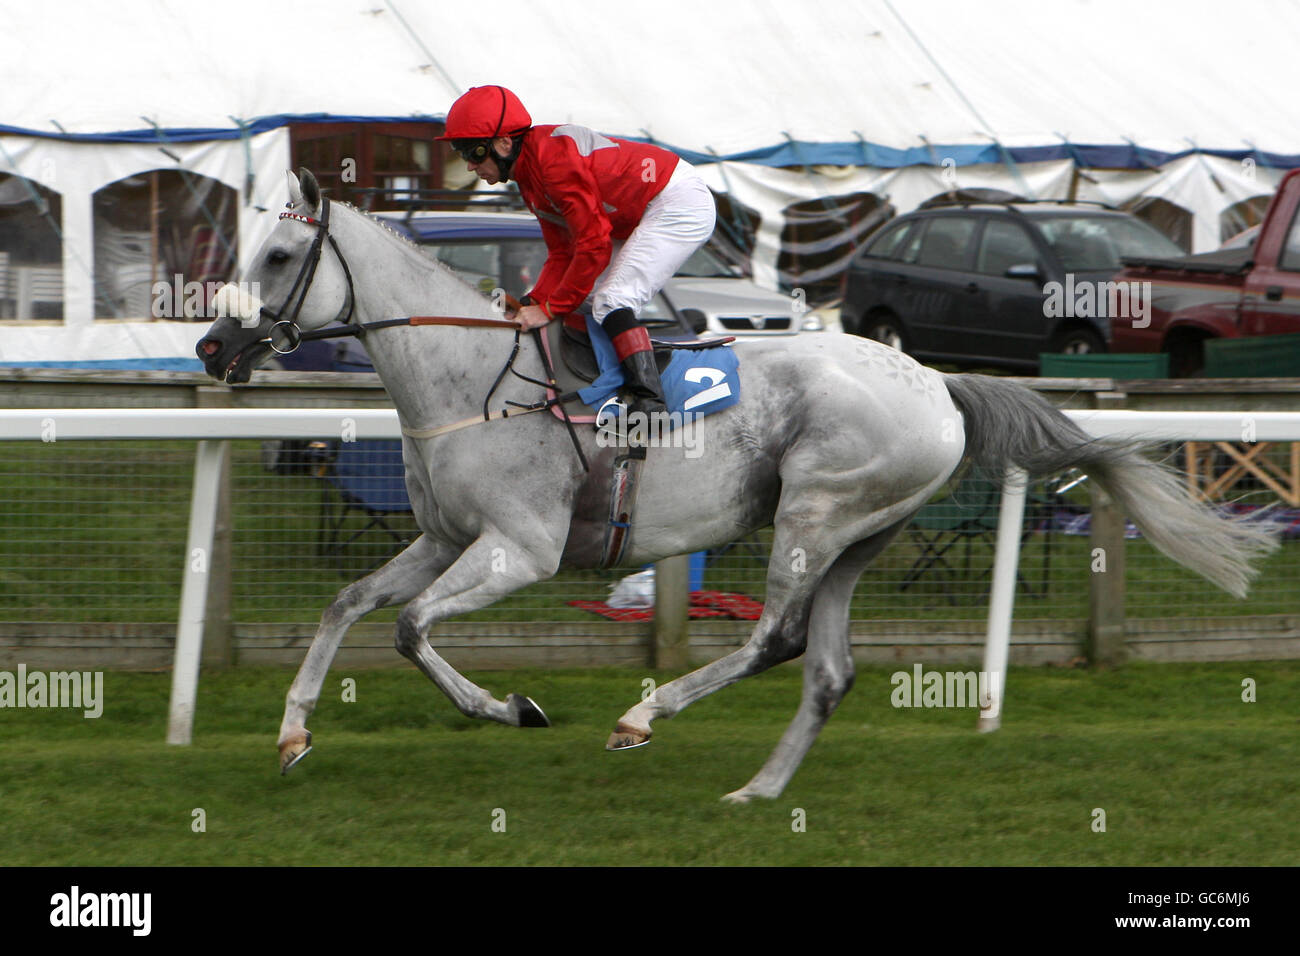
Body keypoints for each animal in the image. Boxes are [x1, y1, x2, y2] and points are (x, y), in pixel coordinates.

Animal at [196, 168, 1277, 802]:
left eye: (281, 255)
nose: (210, 346)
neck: (469, 382)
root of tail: (939, 383)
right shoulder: (443, 537)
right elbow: (346, 604)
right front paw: (291, 736)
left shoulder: (520, 549)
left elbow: (411, 629)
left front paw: (512, 708)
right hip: (858, 538)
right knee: (826, 666)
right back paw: (757, 791)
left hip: (813, 511)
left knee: (777, 638)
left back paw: (643, 718)